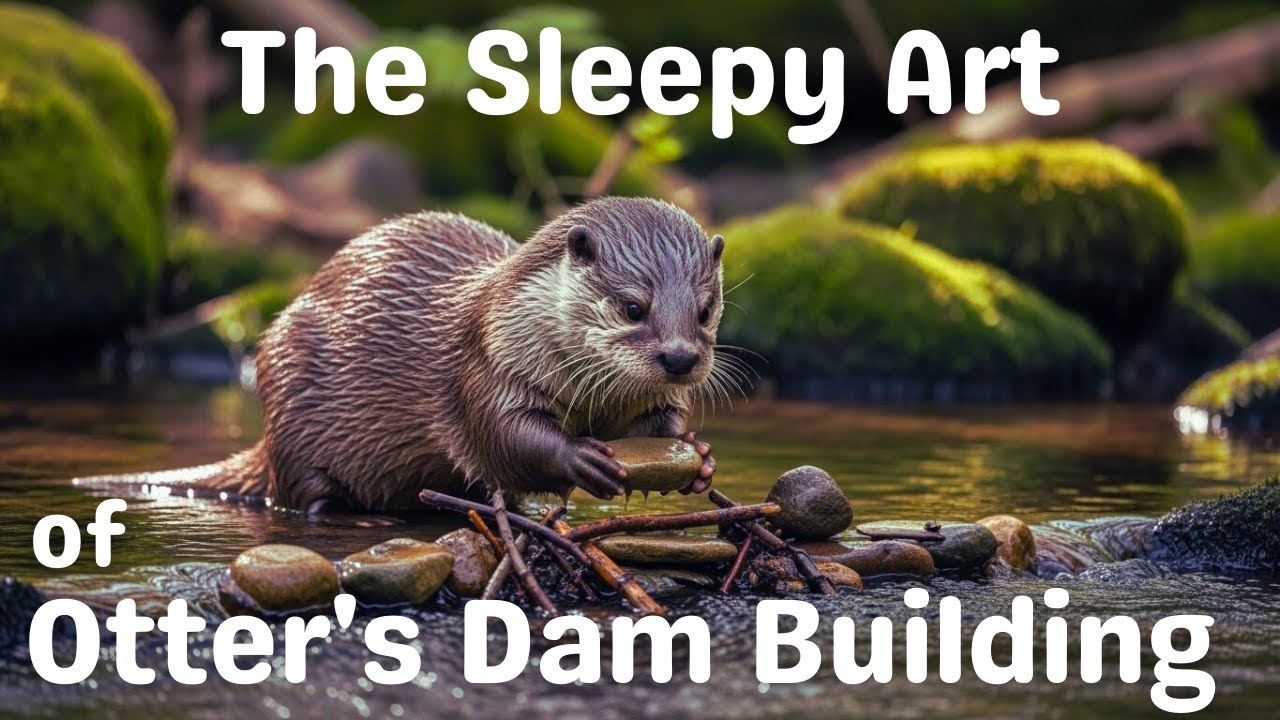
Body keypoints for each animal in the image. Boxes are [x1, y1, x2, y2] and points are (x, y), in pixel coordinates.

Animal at [130, 197, 727, 511]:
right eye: (632, 307)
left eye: (704, 311)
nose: (680, 360)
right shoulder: (486, 365)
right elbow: (504, 436)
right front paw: (579, 457)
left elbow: (658, 423)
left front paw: (697, 453)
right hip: (289, 382)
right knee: (300, 493)